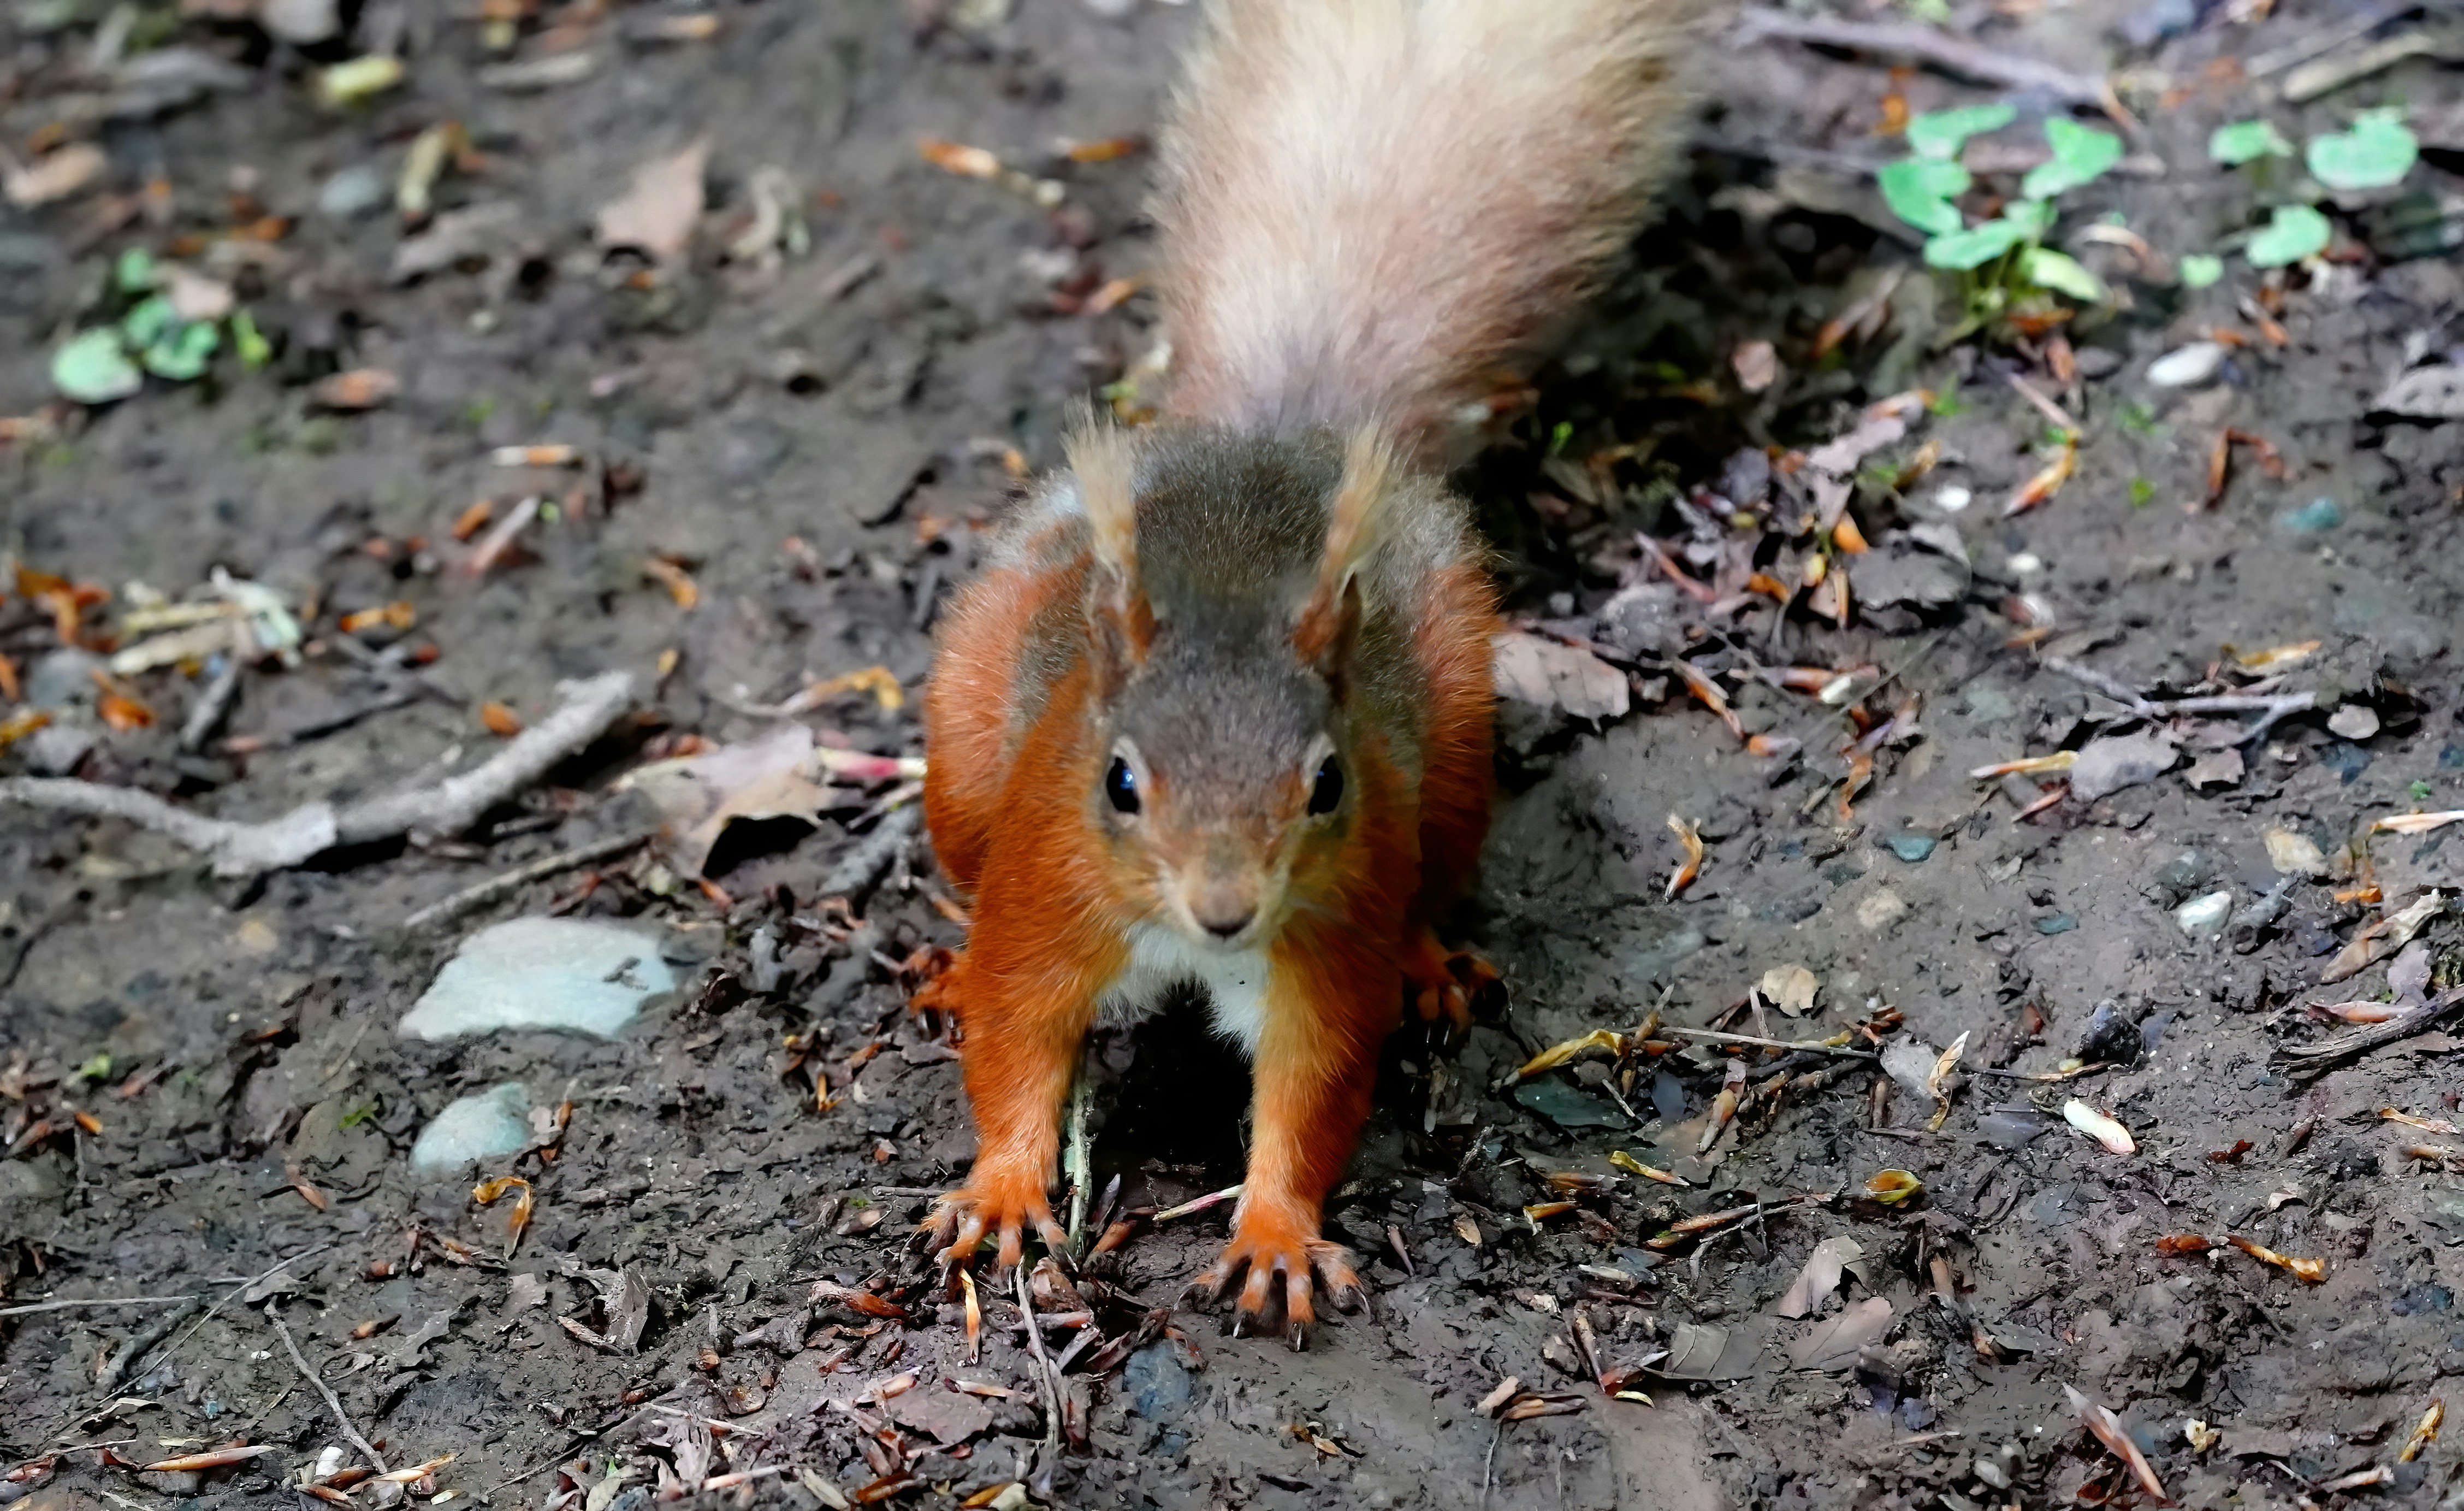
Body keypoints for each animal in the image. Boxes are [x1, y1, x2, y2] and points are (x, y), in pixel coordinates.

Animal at [916, 0, 1705, 1342]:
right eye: (1117, 782)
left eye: (1326, 783)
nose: (1228, 910)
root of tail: (1276, 438)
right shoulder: (1042, 887)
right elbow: (1014, 1040)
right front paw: (1003, 1191)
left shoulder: (1328, 937)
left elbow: (1313, 1085)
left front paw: (1276, 1234)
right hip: (967, 761)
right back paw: (938, 968)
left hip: (1450, 765)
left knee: (1436, 876)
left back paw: (1433, 964)